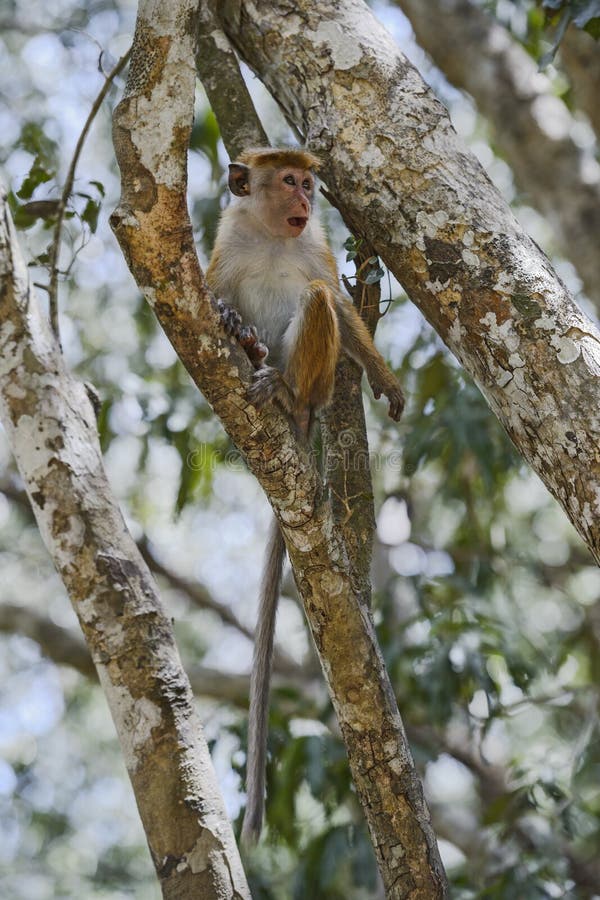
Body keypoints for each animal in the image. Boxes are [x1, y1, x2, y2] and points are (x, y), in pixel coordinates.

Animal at [206, 147, 404, 844]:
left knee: (317, 301)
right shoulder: (227, 237)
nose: (310, 193)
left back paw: (282, 386)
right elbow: (206, 296)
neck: (272, 234)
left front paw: (385, 378)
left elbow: (339, 306)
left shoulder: (314, 242)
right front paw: (226, 316)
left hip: (317, 383)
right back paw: (246, 341)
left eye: (307, 181)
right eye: (288, 178)